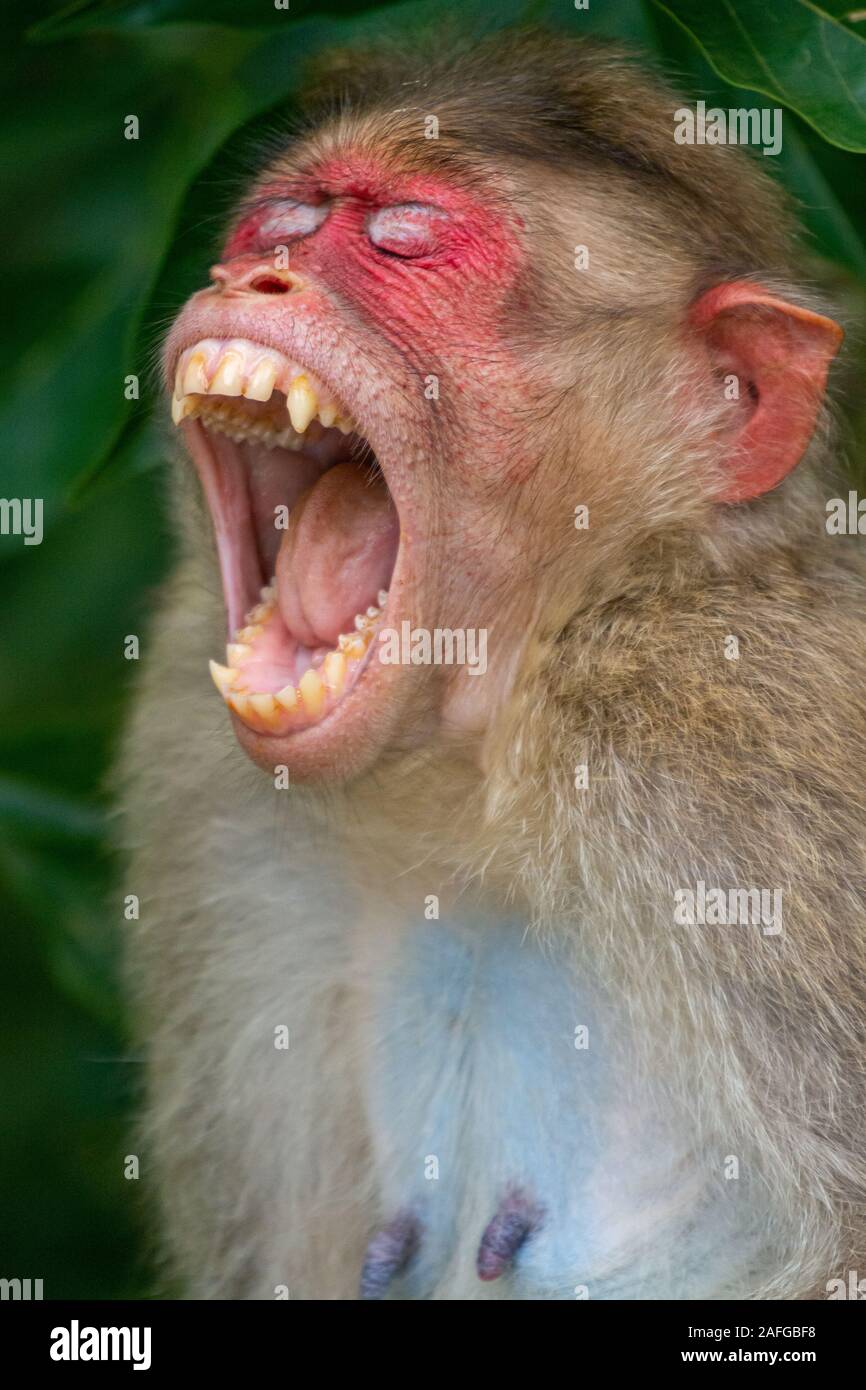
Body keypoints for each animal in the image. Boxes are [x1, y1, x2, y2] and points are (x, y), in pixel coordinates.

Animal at [120, 29, 866, 1300]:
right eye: (283, 224)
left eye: (404, 239)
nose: (256, 281)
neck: (476, 789)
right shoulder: (195, 761)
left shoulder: (720, 747)